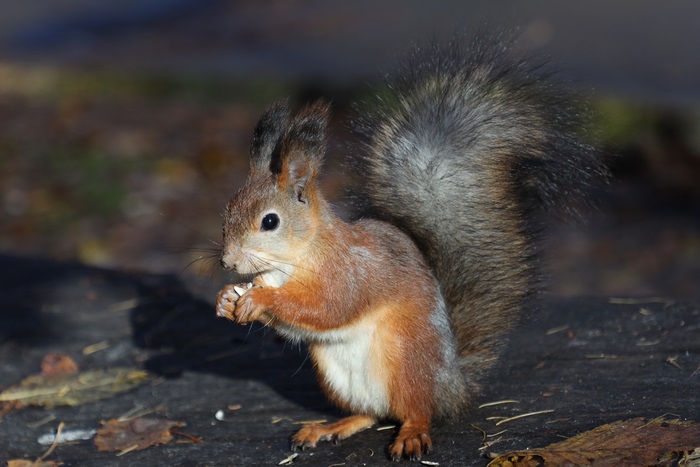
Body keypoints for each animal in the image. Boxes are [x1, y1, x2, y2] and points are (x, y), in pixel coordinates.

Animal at [215, 33, 606, 461]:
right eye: (227, 210)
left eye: (270, 222)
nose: (227, 262)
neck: (290, 261)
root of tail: (452, 385)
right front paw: (227, 298)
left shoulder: (350, 273)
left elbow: (326, 307)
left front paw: (259, 300)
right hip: (336, 374)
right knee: (371, 413)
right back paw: (331, 426)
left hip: (405, 358)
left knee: (417, 409)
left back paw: (412, 434)